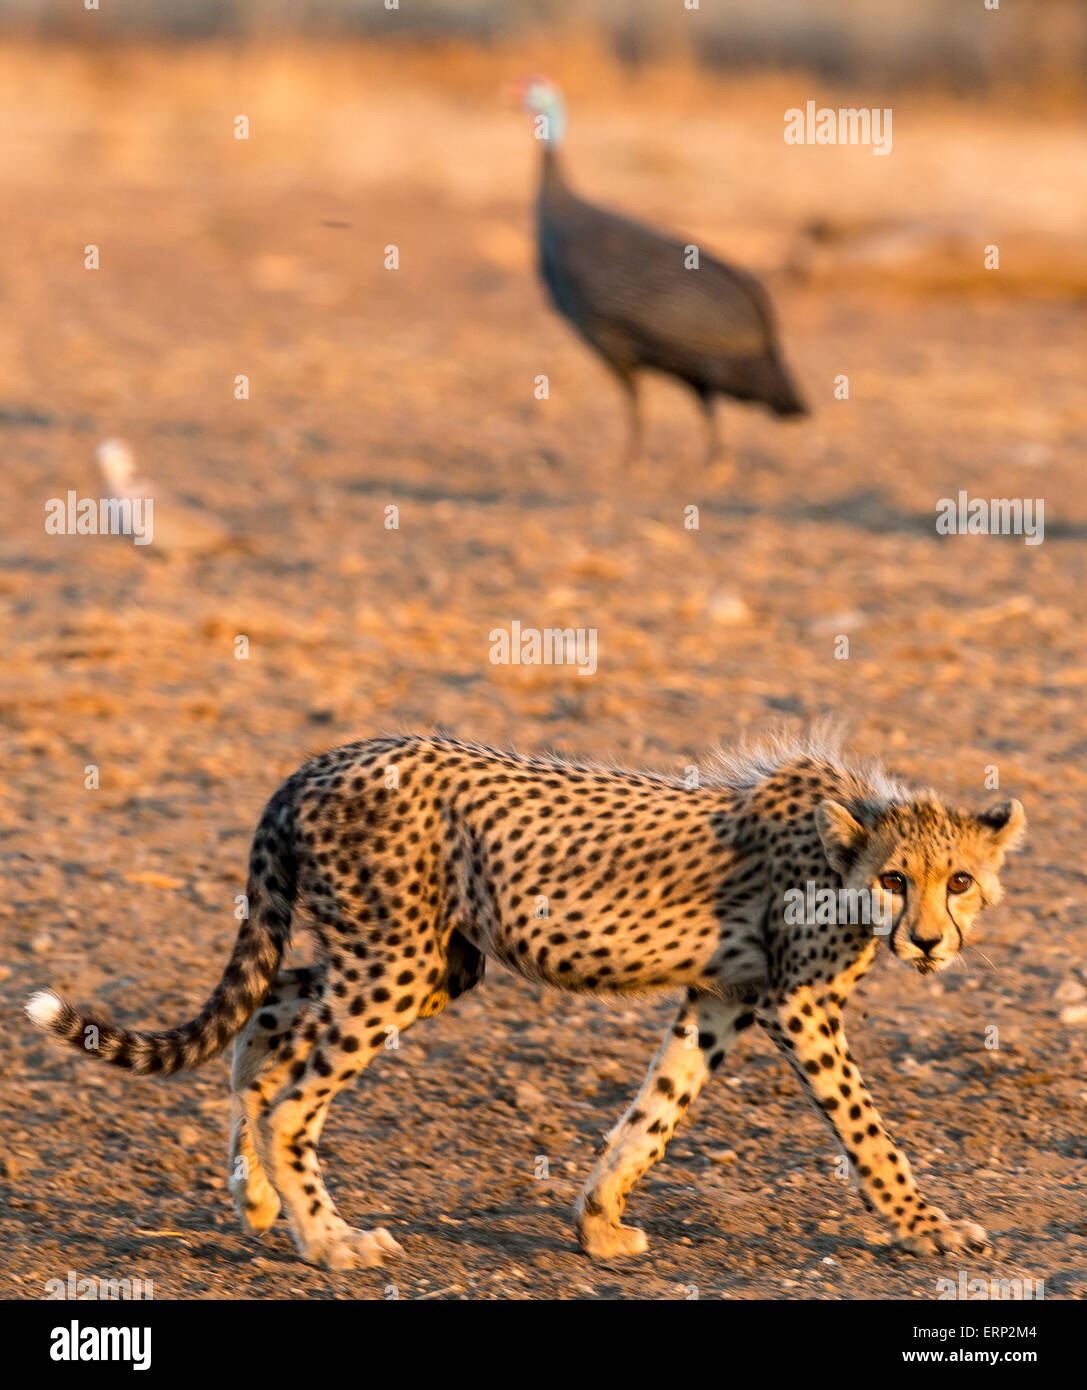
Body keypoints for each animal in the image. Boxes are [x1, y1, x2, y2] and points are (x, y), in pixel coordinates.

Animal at [26, 729, 1026, 1270]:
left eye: (959, 881)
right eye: (895, 880)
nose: (928, 940)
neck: (840, 848)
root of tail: (321, 760)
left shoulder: (722, 996)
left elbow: (656, 1110)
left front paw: (599, 1223)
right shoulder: (796, 1006)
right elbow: (869, 1136)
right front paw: (933, 1231)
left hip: (423, 960)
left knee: (264, 1019)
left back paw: (257, 1197)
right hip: (393, 961)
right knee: (291, 1098)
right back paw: (329, 1240)